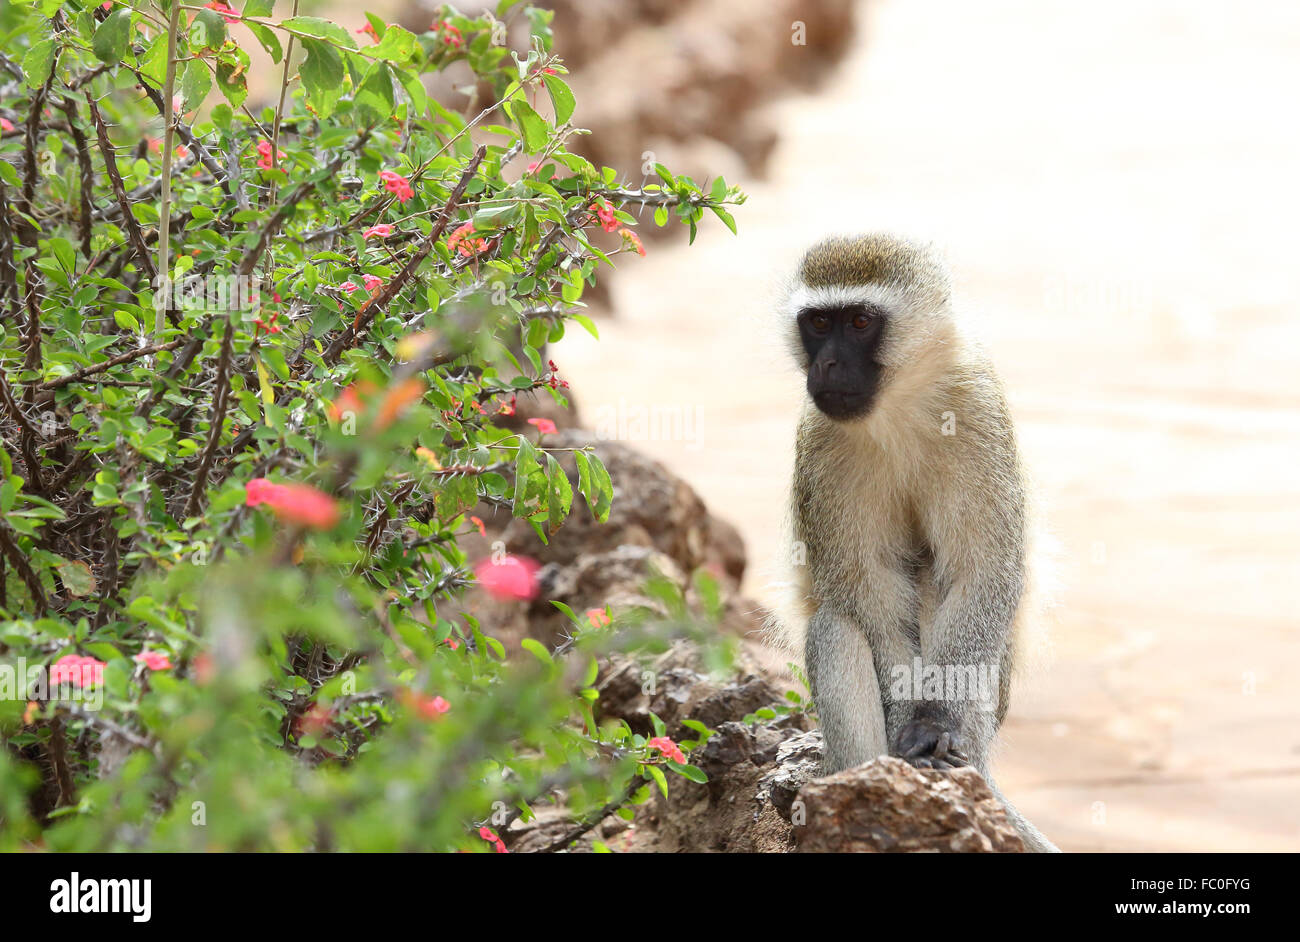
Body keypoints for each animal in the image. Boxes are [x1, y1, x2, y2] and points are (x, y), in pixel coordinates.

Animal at [767, 233, 1059, 853]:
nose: (826, 363)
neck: (896, 403)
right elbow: (867, 593)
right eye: (818, 322)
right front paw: (909, 729)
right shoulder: (822, 441)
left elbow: (982, 572)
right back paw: (867, 783)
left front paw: (931, 724)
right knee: (835, 626)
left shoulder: (975, 405)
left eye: (859, 322)